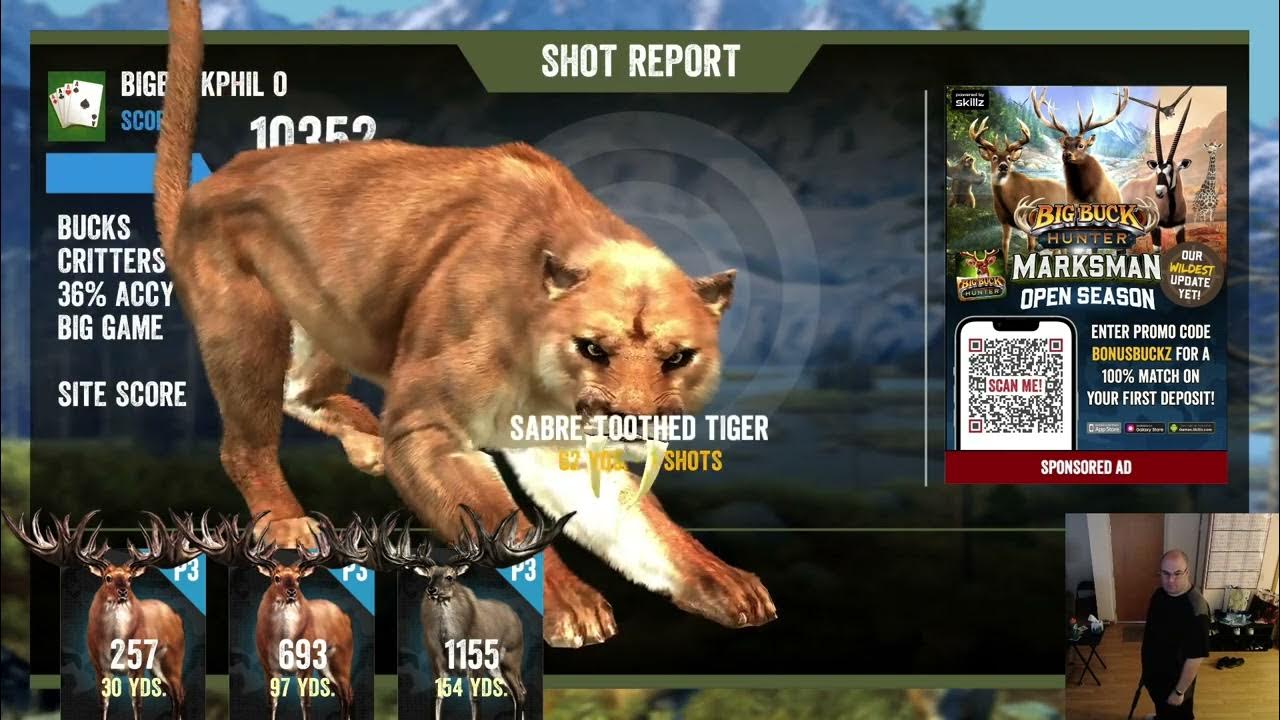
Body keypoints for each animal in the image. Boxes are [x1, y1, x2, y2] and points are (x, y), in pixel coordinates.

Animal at [2, 510, 198, 720]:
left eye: (130, 578)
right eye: (107, 578)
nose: (123, 592)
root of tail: (176, 616)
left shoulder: (136, 667)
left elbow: (137, 704)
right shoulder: (99, 666)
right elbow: (103, 704)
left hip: (173, 656)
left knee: (180, 692)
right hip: (156, 665)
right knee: (174, 694)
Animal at [176, 511, 357, 720]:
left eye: (298, 578)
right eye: (276, 578)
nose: (291, 592)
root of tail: (345, 616)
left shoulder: (305, 666)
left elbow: (306, 703)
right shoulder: (268, 666)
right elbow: (271, 703)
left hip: (341, 656)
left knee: (348, 692)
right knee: (343, 695)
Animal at [381, 506, 570, 720]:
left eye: (450, 577)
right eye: (429, 577)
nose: (431, 590)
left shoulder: (474, 662)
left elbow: (475, 700)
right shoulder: (436, 664)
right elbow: (438, 699)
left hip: (511, 656)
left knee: (520, 692)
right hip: (494, 667)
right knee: (514, 692)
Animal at [968, 117, 1068, 259]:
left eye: (1009, 158)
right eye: (994, 158)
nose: (1003, 166)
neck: (1009, 201)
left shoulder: (1031, 220)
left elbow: (1031, 247)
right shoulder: (1004, 221)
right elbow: (1005, 245)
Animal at [1122, 100, 1195, 250]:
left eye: (1172, 171)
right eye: (1156, 172)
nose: (1159, 192)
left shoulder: (1180, 226)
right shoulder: (1155, 227)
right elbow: (1157, 249)